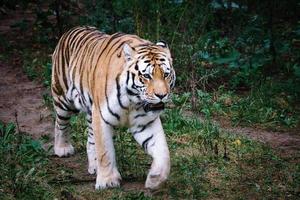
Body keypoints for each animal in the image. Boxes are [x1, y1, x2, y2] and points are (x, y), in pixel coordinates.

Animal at [50, 26, 175, 189]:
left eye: (166, 74)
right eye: (147, 76)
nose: (162, 95)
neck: (133, 100)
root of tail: (71, 29)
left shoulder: (145, 122)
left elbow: (163, 151)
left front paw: (155, 178)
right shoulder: (102, 117)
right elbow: (105, 152)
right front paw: (107, 181)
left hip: (90, 109)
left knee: (90, 137)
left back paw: (93, 165)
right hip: (63, 98)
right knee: (60, 123)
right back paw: (62, 148)